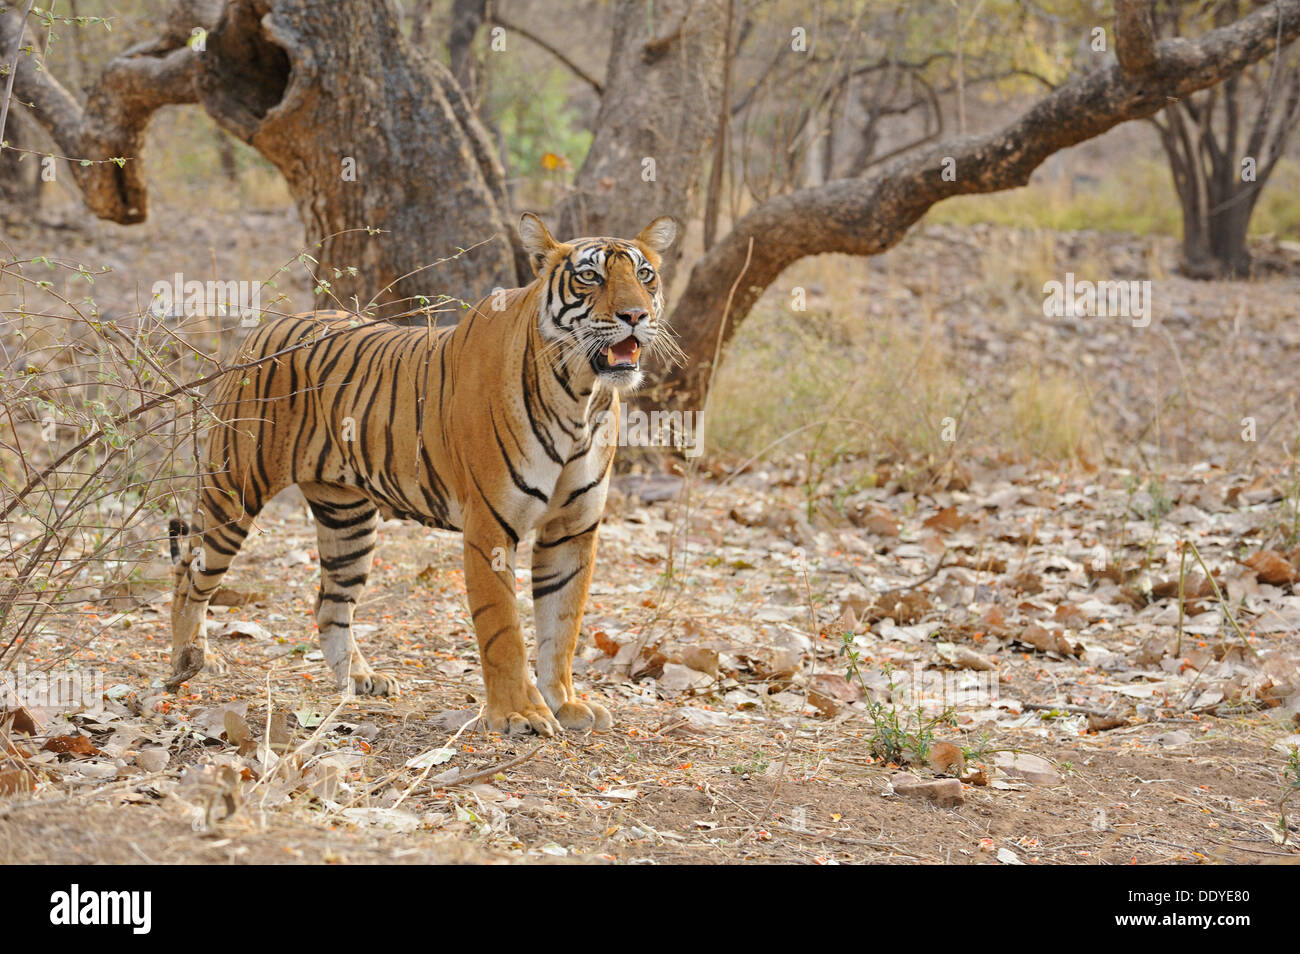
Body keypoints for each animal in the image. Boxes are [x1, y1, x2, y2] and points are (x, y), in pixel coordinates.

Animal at [167, 213, 679, 735]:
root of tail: (268, 326)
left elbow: (563, 626)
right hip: (234, 492)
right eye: (590, 276)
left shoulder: (573, 530)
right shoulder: (490, 528)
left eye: (645, 275)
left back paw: (360, 680)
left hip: (348, 520)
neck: (582, 394)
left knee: (330, 603)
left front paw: (565, 703)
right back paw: (190, 661)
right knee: (190, 574)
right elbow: (504, 630)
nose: (635, 315)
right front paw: (519, 714)